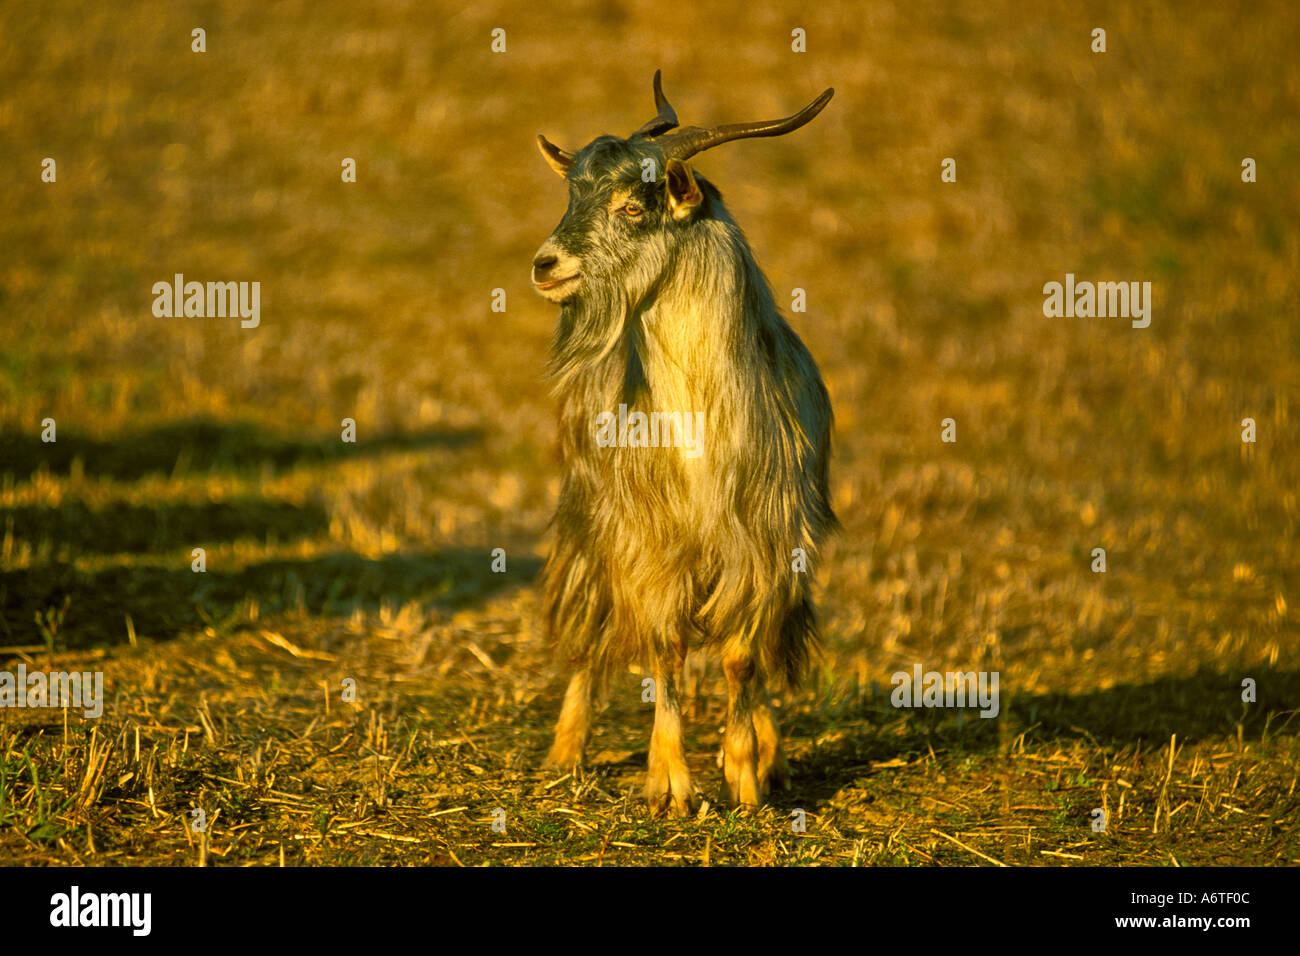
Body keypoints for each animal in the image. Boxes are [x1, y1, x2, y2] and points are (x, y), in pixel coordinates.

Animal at [532, 72, 837, 814]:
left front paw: (746, 774)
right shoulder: (647, 544)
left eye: (632, 205)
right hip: (588, 524)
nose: (544, 265)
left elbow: (740, 659)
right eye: (571, 195)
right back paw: (564, 753)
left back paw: (772, 757)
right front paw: (669, 782)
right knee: (587, 635)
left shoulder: (764, 543)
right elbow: (665, 649)